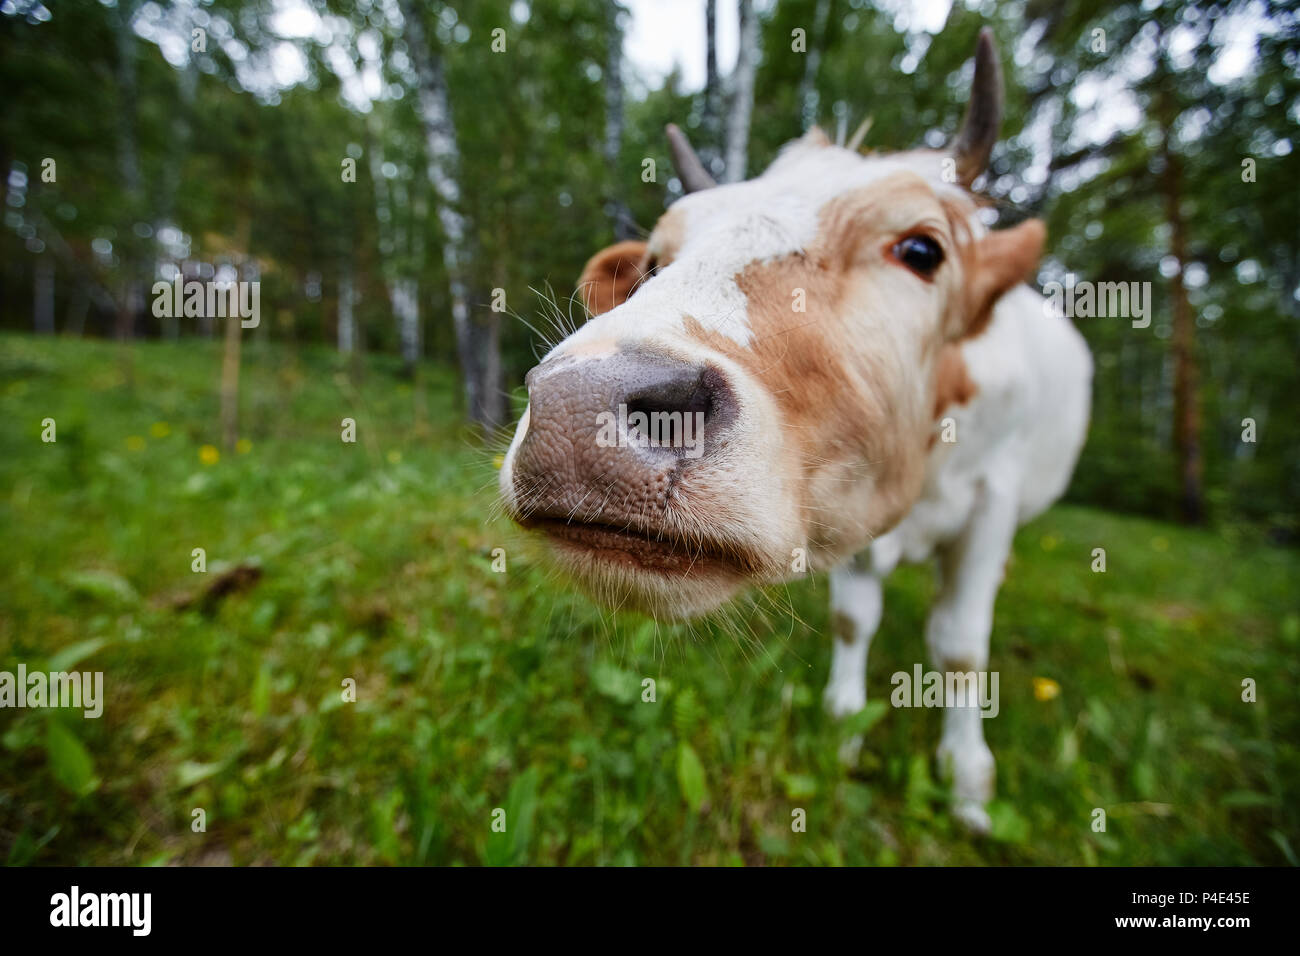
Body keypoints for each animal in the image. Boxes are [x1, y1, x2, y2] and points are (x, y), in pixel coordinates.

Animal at [498, 29, 1092, 833]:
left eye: (922, 250)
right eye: (654, 260)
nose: (580, 405)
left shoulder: (992, 500)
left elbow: (962, 648)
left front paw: (968, 784)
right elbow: (852, 619)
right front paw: (843, 724)